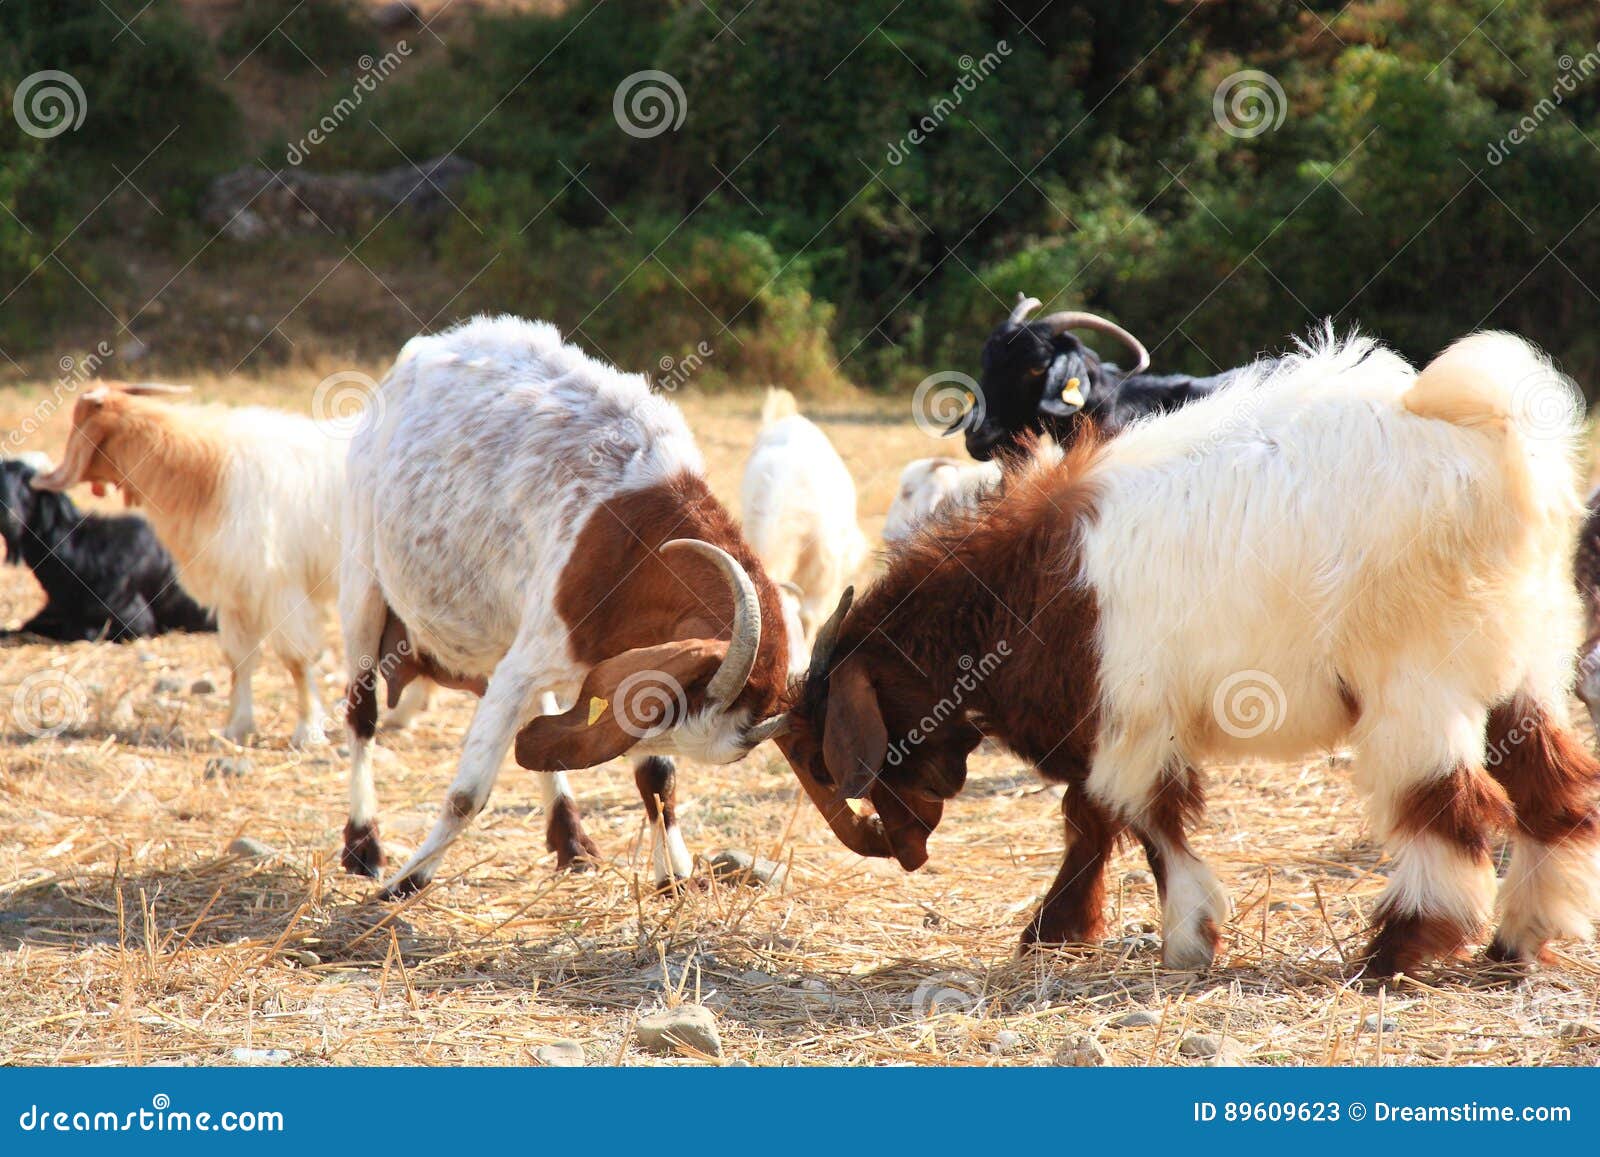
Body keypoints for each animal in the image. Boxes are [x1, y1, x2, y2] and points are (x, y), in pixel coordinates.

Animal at [31, 384, 430, 744]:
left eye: (78, 421)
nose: (43, 478)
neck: (208, 472)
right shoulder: (237, 594)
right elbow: (239, 659)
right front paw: (237, 727)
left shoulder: (279, 587)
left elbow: (296, 659)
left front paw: (307, 731)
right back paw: (406, 714)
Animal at [340, 316, 792, 897]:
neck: (635, 536)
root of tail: (416, 357)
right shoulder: (528, 661)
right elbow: (467, 794)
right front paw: (406, 880)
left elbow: (656, 776)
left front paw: (673, 875)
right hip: (362, 585)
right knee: (362, 715)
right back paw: (363, 845)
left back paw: (570, 838)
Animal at [771, 329, 1600, 979]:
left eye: (823, 758)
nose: (904, 849)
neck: (1018, 587)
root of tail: (1504, 451)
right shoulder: (1107, 719)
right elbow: (1092, 817)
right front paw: (1061, 927)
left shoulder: (1132, 714)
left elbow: (1139, 815)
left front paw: (1183, 933)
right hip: (1523, 670)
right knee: (1558, 792)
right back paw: (1521, 938)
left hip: (1417, 685)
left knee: (1453, 808)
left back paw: (1396, 950)